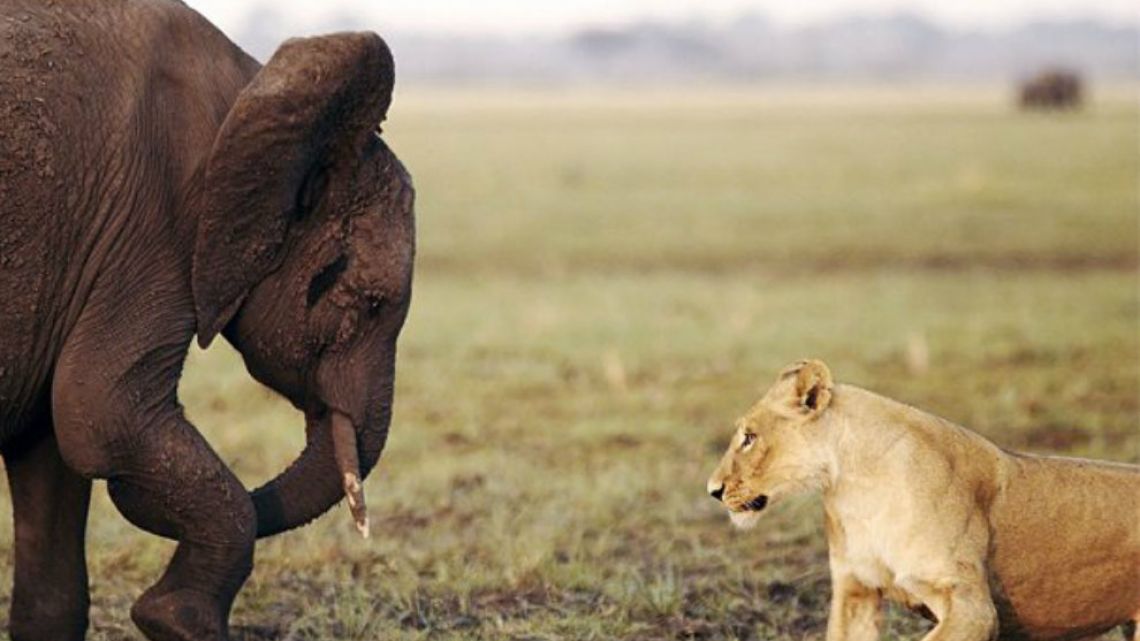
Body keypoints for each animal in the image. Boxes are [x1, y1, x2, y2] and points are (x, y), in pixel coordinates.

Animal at [0, 1, 414, 639]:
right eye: (369, 302)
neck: (250, 93)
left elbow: (51, 445)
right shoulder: (149, 226)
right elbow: (102, 416)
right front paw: (177, 623)